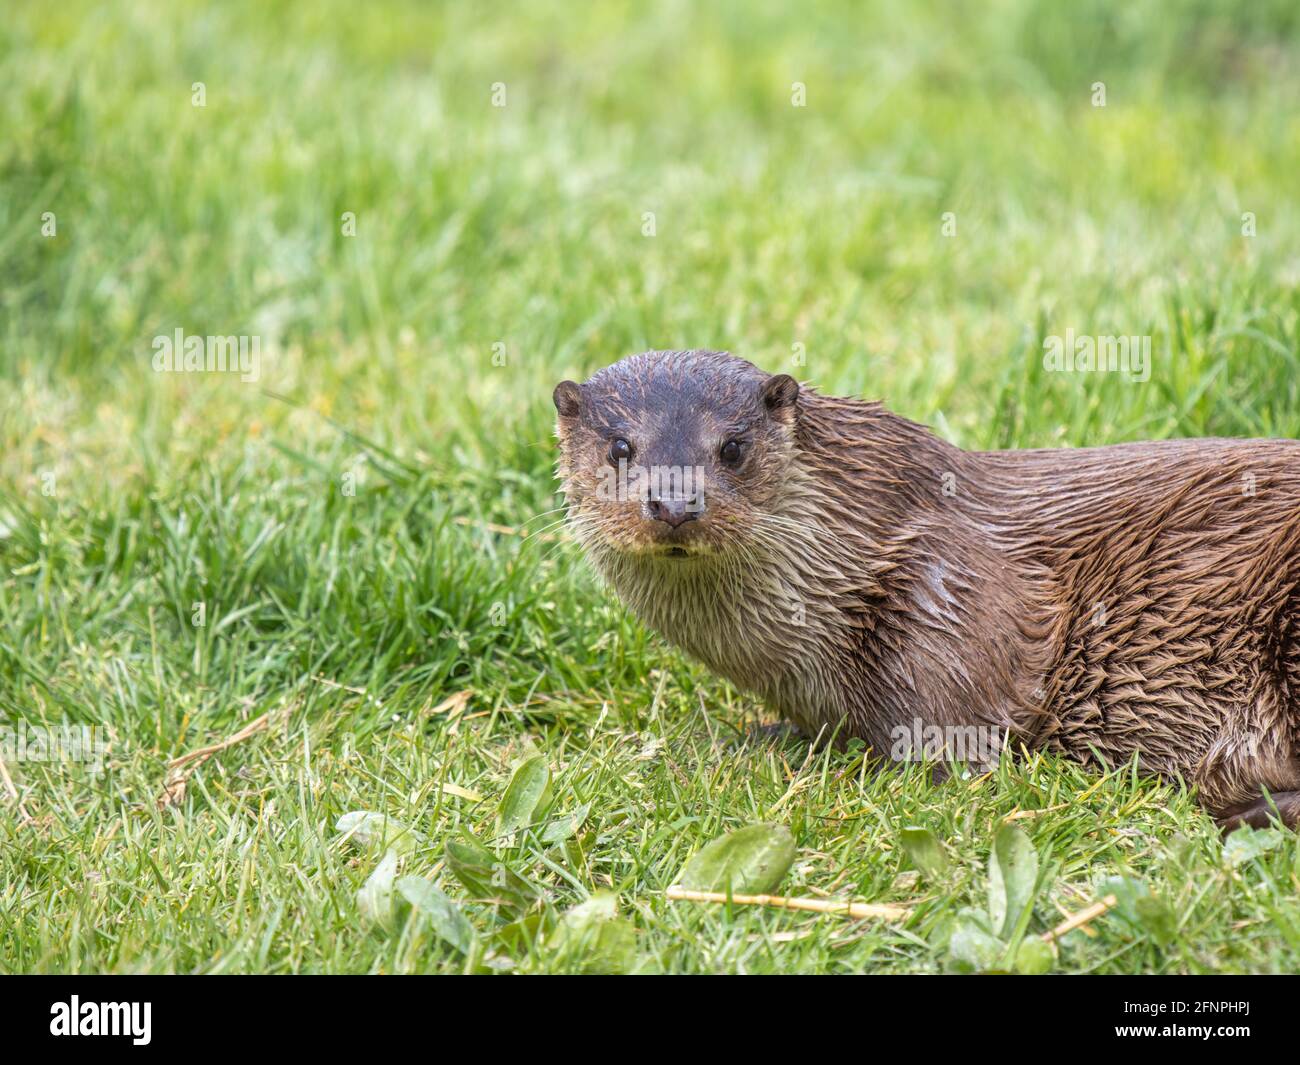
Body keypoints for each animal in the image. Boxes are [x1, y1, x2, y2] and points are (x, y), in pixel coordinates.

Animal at [553, 350, 1300, 830]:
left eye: (731, 447)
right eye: (621, 446)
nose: (674, 502)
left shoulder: (945, 594)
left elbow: (955, 752)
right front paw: (753, 737)